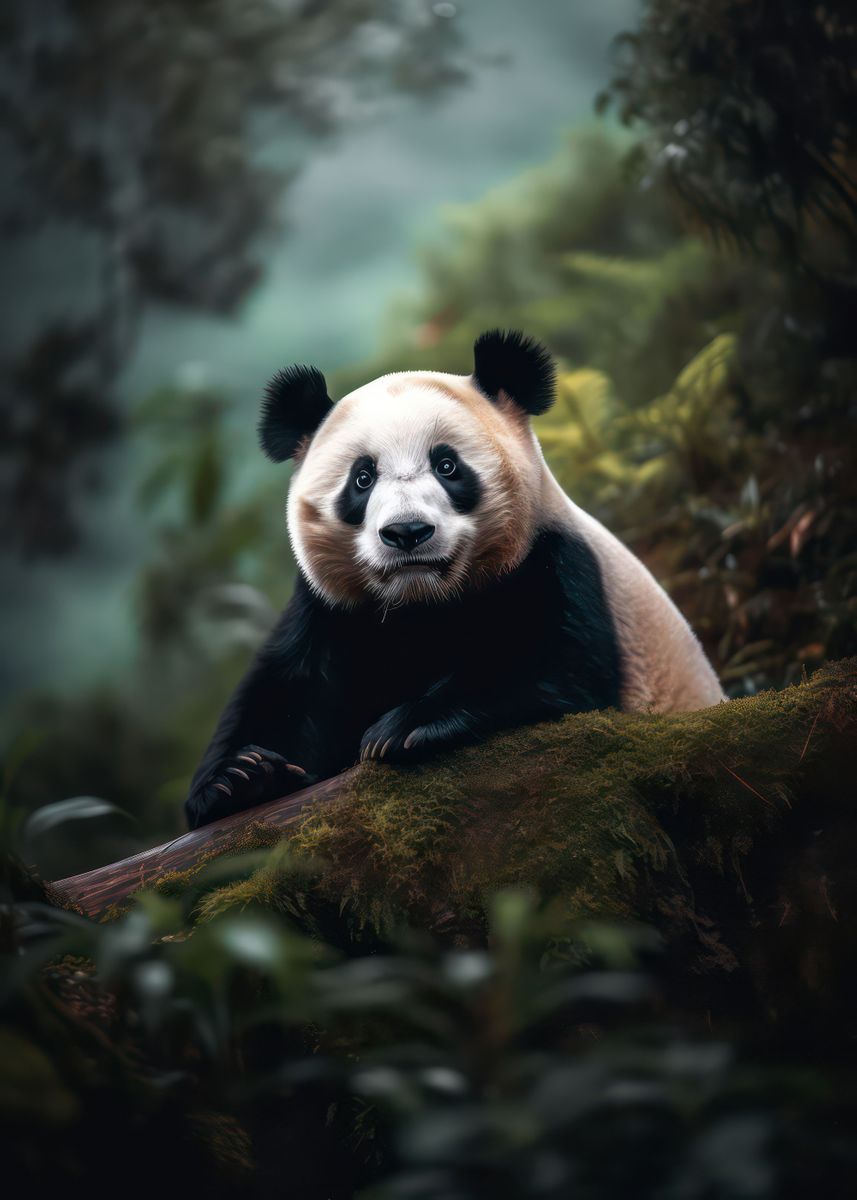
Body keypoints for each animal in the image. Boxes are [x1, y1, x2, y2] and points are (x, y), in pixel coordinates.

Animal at [185, 330, 724, 829]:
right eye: (363, 478)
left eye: (447, 465)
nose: (407, 532)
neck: (422, 602)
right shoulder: (330, 608)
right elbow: (289, 692)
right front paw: (239, 778)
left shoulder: (557, 562)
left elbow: (557, 664)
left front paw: (401, 728)